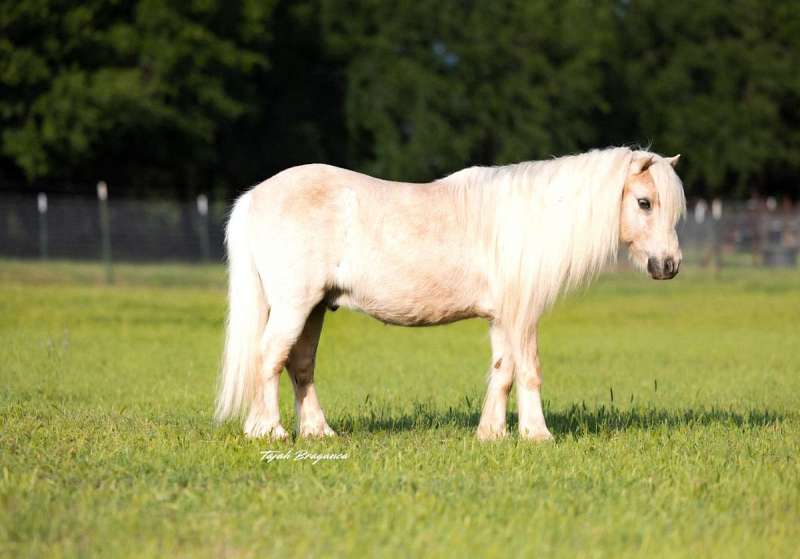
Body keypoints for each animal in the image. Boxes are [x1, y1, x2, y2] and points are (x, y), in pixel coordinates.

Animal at [215, 147, 685, 441]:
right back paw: (270, 431)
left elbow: (503, 371)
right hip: (294, 305)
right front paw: (538, 434)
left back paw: (318, 432)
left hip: (314, 308)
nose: (668, 265)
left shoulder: (502, 317)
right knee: (269, 357)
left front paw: (491, 434)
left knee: (300, 364)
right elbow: (528, 370)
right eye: (644, 202)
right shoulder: (522, 314)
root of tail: (254, 196)